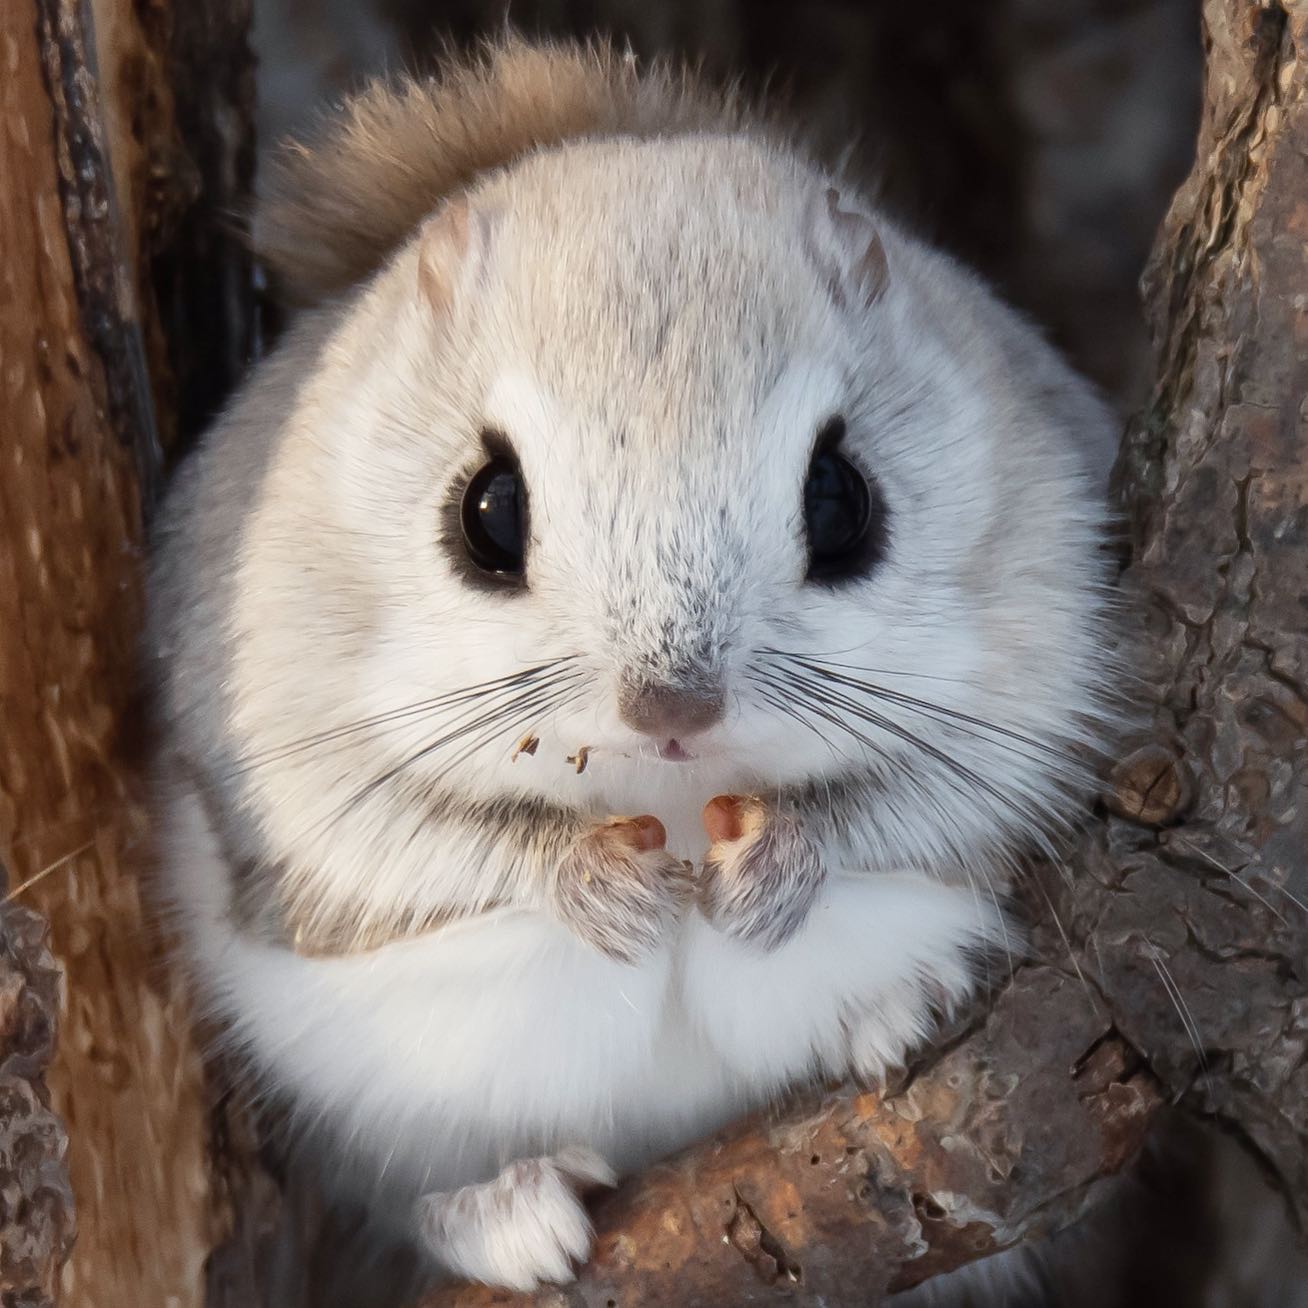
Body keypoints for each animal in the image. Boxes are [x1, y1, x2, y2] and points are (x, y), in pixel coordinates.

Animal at [146, 38, 1119, 1291]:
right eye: (486, 512)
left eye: (844, 502)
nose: (672, 705)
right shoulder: (276, 765)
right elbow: (424, 852)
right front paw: (598, 885)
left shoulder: (1044, 674)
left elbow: (927, 810)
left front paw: (773, 869)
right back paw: (503, 1211)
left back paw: (898, 1006)